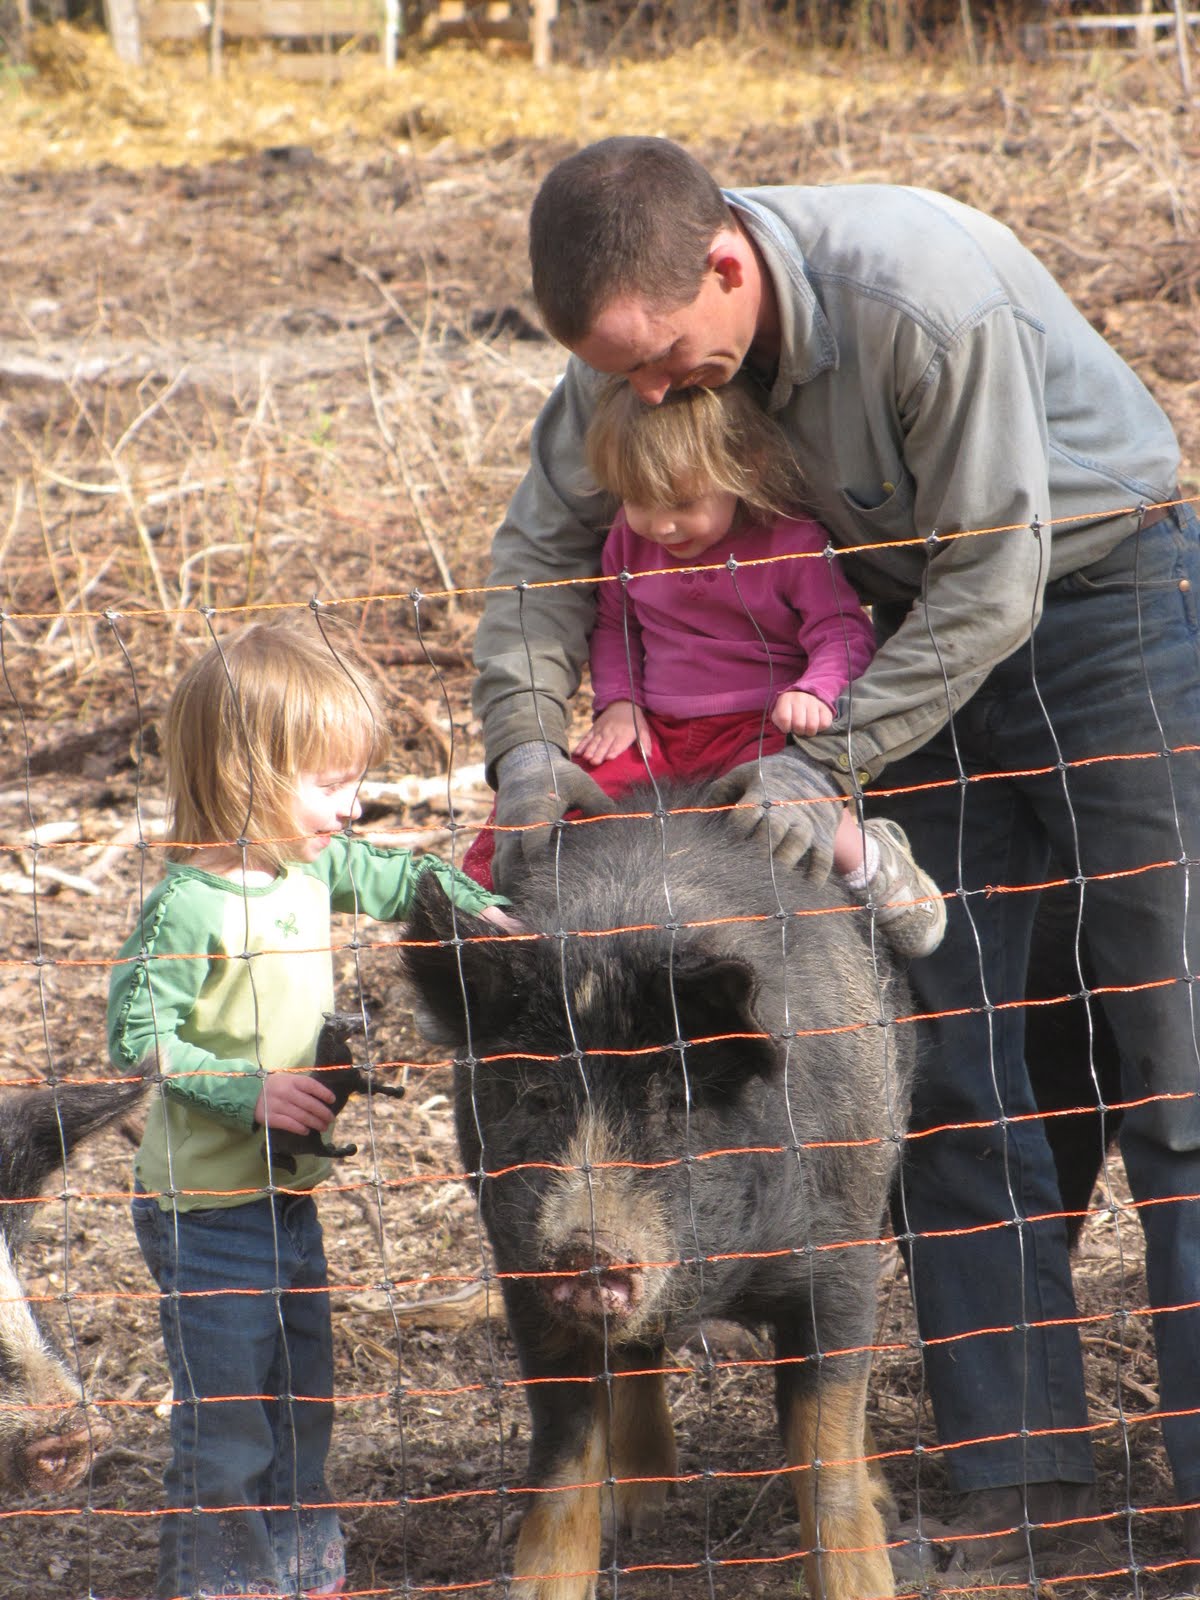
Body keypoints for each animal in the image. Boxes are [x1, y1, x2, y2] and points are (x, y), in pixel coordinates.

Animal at [403, 783, 914, 1600]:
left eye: (672, 1102)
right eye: (540, 1099)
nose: (585, 1245)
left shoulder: (842, 1251)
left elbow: (824, 1440)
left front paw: (866, 1568)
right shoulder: (519, 1270)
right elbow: (562, 1462)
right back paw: (643, 1509)